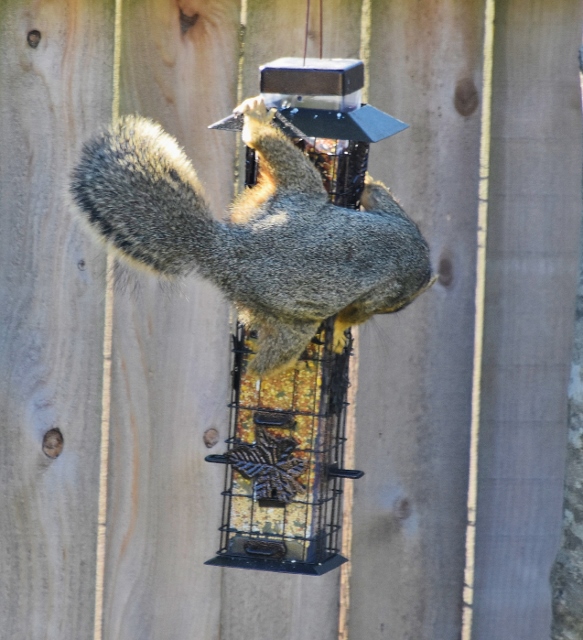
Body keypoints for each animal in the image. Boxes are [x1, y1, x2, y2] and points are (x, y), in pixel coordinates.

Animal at [70, 97, 433, 376]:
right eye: (397, 307)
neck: (418, 258)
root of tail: (226, 250)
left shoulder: (395, 220)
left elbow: (377, 195)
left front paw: (367, 179)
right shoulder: (384, 291)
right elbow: (354, 312)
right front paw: (343, 331)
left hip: (290, 193)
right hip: (293, 317)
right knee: (276, 356)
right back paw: (264, 369)